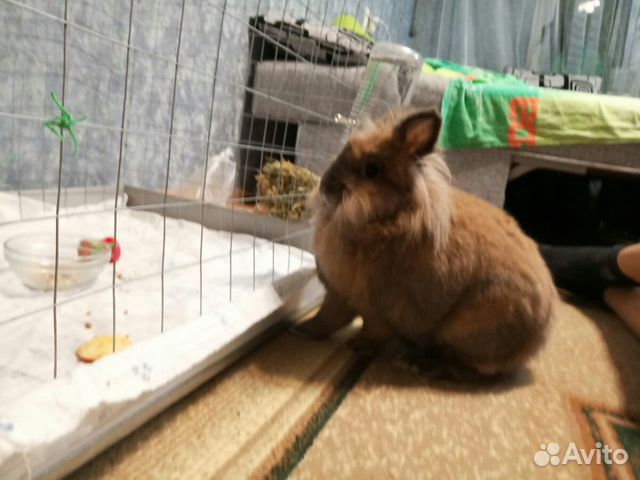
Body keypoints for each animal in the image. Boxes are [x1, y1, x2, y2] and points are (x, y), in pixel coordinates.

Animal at [296, 109, 557, 378]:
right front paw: (303, 330)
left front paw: (356, 345)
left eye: (371, 169)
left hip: (465, 331)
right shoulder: (338, 295)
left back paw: (414, 364)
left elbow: (370, 331)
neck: (385, 221)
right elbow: (327, 319)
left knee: (461, 366)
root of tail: (539, 336)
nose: (326, 185)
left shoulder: (377, 309)